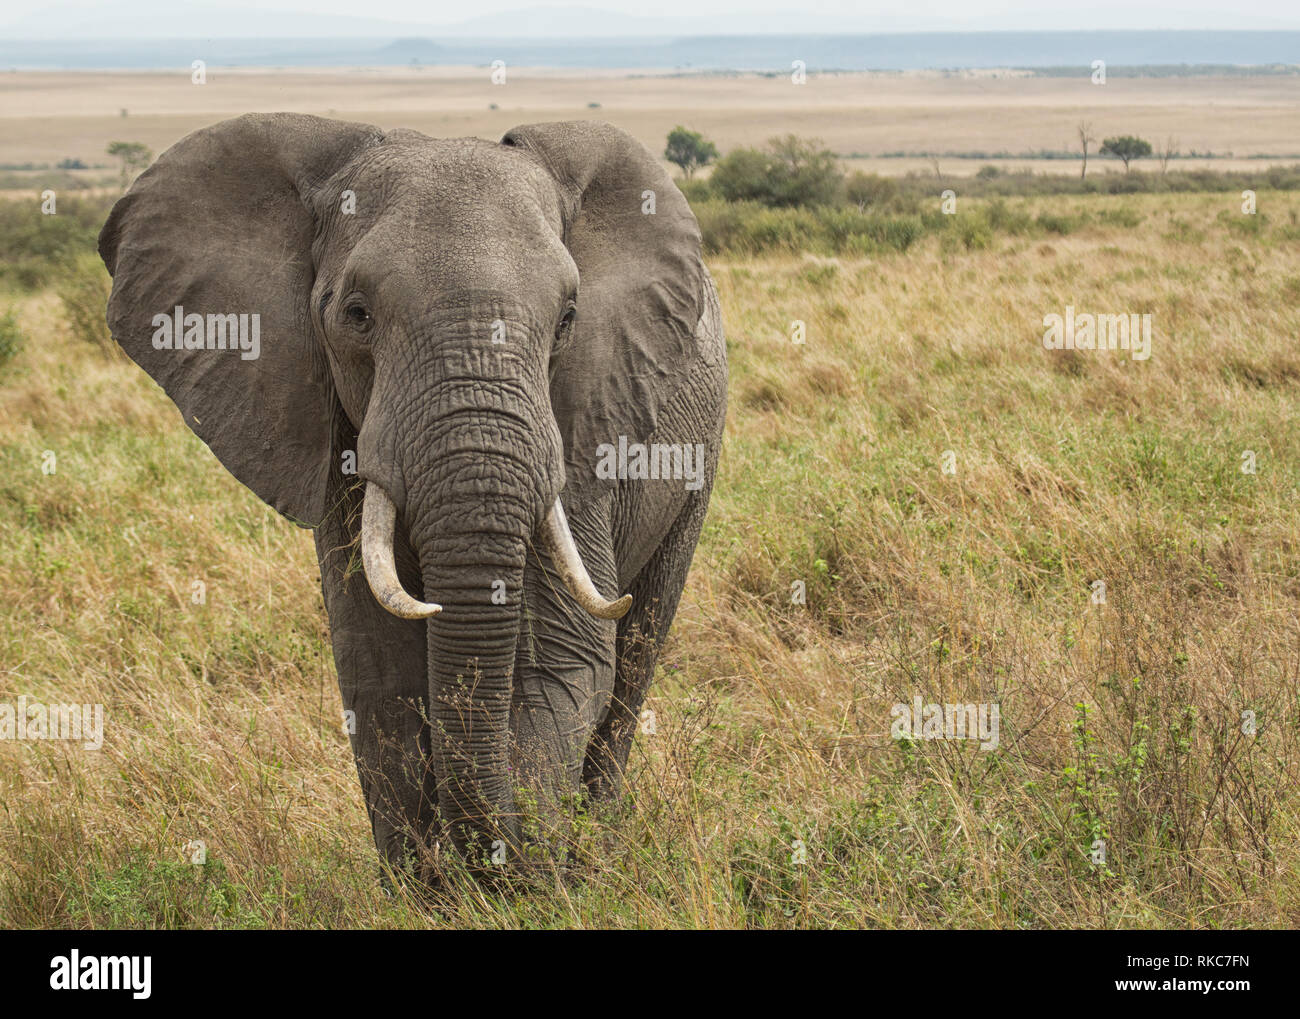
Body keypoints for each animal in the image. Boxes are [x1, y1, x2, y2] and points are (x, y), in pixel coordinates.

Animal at [97, 113, 727, 878]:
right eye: (356, 314)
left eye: (569, 319)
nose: (493, 861)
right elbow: (377, 672)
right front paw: (431, 888)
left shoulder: (581, 427)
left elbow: (564, 660)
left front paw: (534, 879)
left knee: (639, 649)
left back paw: (595, 851)